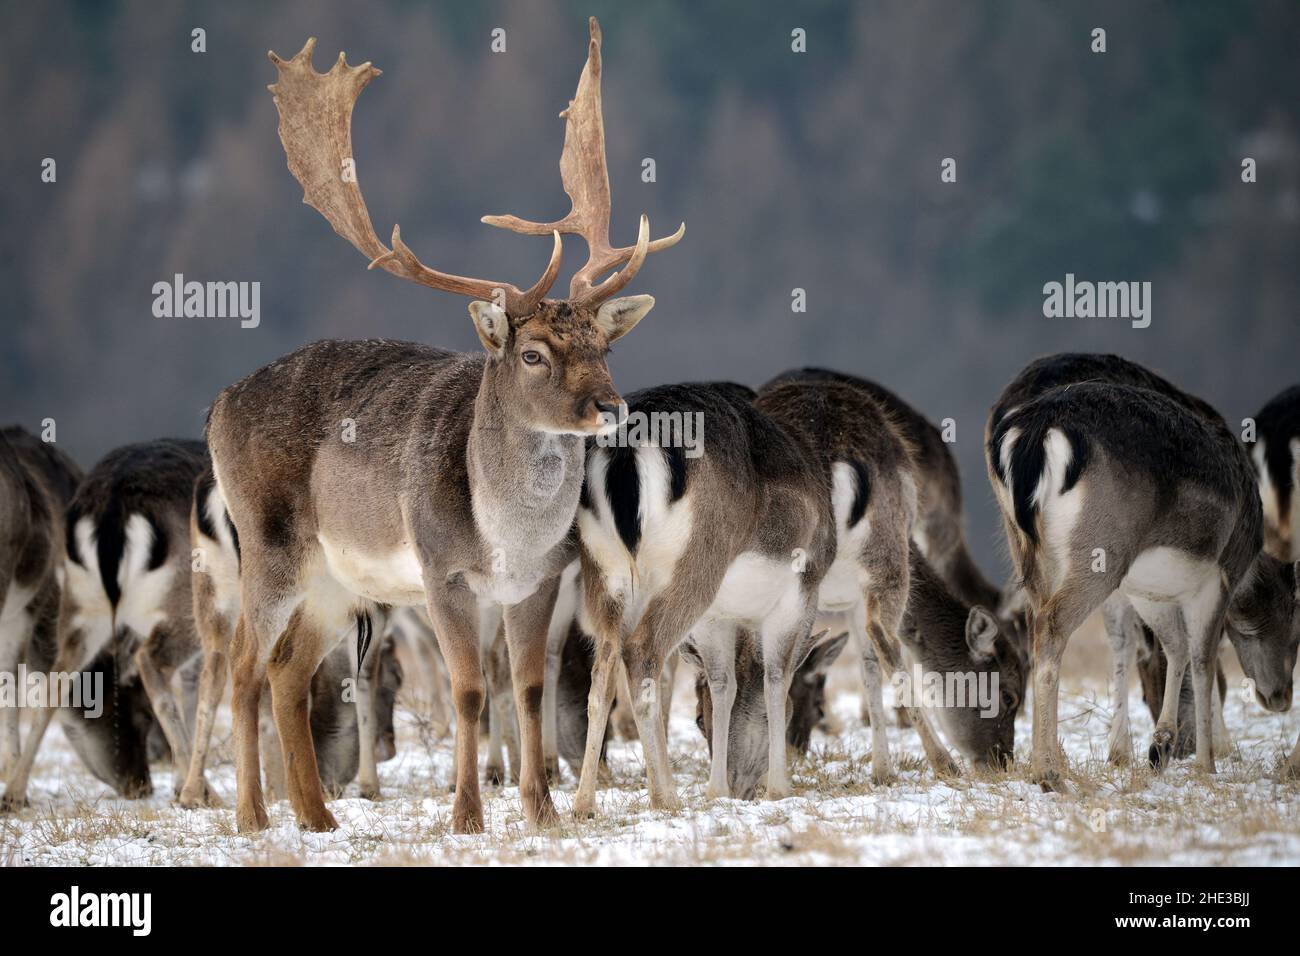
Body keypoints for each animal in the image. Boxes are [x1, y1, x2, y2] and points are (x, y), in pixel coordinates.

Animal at [2, 439, 210, 809]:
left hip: (82, 609)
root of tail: (114, 508)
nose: (141, 784)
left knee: (54, 683)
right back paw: (195, 791)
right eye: (141, 717)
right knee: (151, 659)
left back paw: (13, 793)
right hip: (185, 600)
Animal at [207, 17, 682, 834]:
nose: (611, 405)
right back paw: (254, 816)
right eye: (532, 352)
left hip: (334, 577)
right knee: (245, 666)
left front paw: (541, 809)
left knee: (289, 669)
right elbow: (467, 691)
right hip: (267, 542)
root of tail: (216, 406)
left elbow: (525, 688)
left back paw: (317, 815)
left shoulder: (540, 579)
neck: (504, 534)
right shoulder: (439, 571)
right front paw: (465, 814)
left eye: (604, 344)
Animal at [987, 378, 1299, 791]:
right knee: (1051, 628)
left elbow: (1175, 646)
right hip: (1101, 553)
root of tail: (1034, 434)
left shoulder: (1147, 590)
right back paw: (1049, 773)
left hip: (1027, 553)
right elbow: (1203, 658)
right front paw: (1206, 765)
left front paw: (1161, 747)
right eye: (1296, 631)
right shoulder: (1218, 578)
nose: (1280, 697)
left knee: (1035, 628)